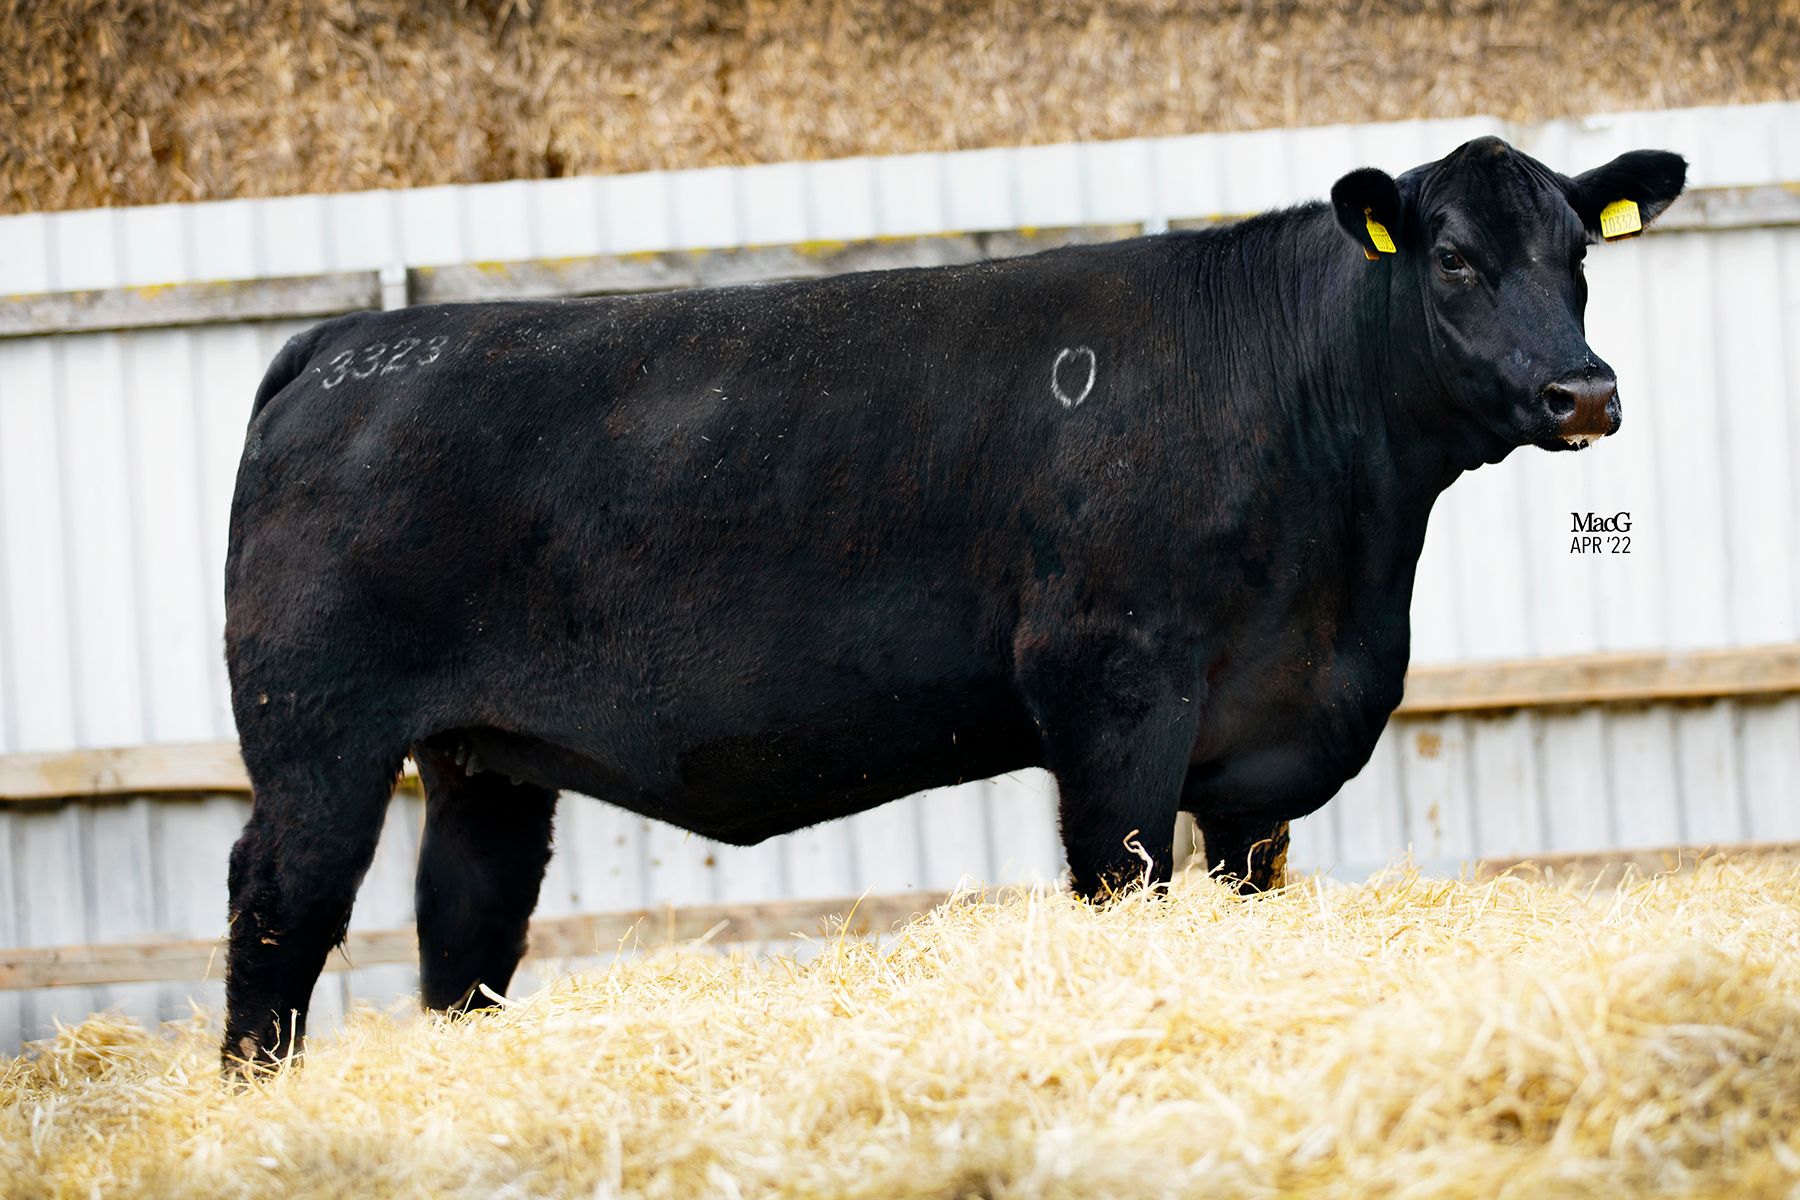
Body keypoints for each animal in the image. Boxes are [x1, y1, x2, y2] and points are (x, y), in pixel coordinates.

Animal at [220, 137, 1685, 1072]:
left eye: (1578, 250)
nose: (1586, 391)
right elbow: (1120, 883)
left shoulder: (1257, 752)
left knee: (464, 922)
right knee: (280, 901)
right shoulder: (1112, 697)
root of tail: (341, 346)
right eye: (1451, 256)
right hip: (318, 732)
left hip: (486, 759)